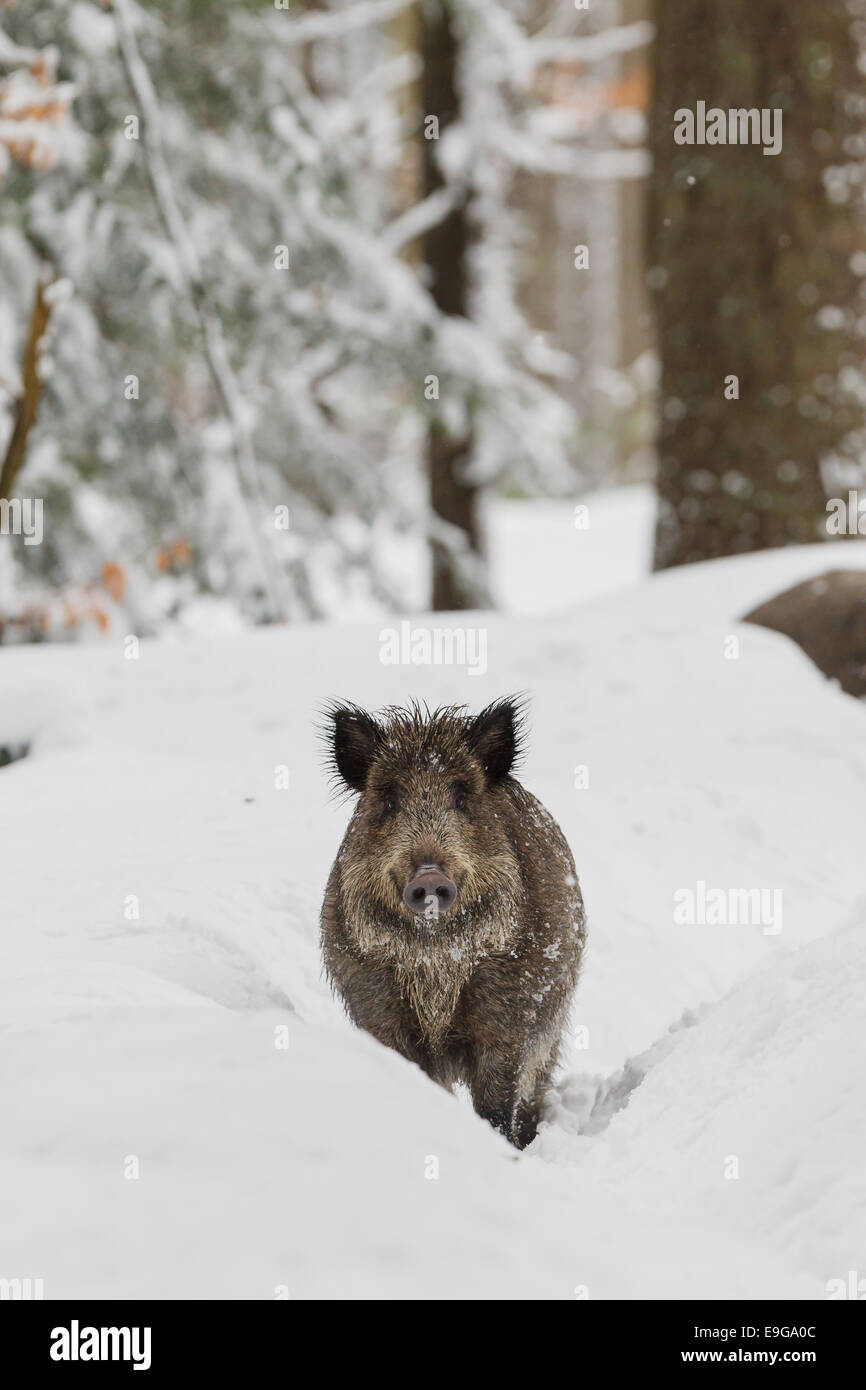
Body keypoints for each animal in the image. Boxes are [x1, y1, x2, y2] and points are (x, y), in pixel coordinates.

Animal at [320, 697, 586, 1149]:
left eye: (462, 796)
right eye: (389, 800)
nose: (429, 877)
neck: (437, 965)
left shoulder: (512, 1008)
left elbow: (498, 1101)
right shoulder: (375, 1003)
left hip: (552, 1018)